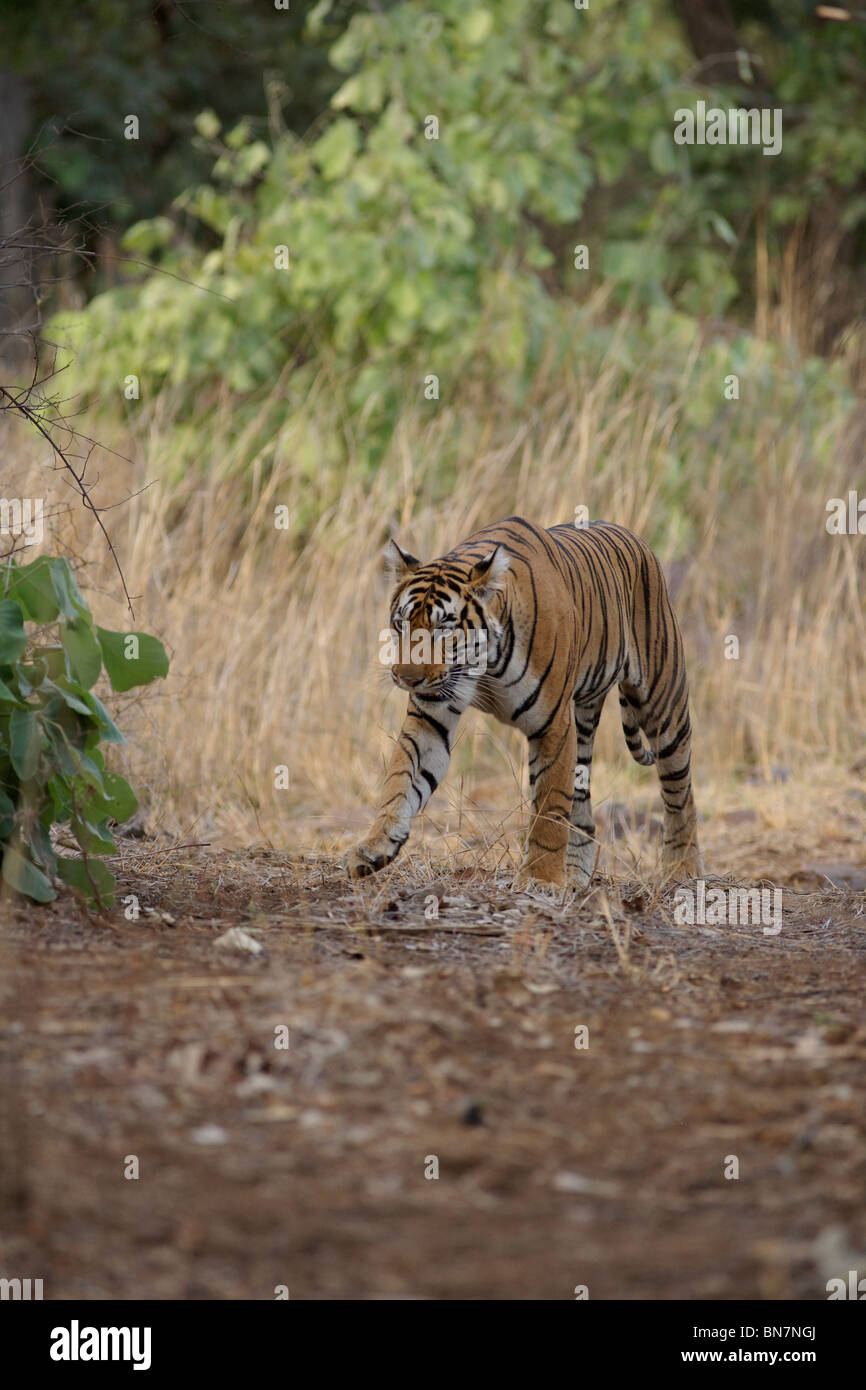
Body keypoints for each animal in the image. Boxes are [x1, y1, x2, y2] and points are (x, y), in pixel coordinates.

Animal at [344, 516, 701, 892]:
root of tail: (636, 539)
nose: (406, 678)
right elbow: (400, 780)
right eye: (401, 623)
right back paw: (576, 874)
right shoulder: (430, 719)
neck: (485, 665)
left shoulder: (554, 725)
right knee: (583, 804)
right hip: (585, 722)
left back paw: (682, 869)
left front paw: (540, 878)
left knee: (680, 793)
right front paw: (373, 848)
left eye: (444, 629)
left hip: (663, 703)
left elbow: (549, 806)